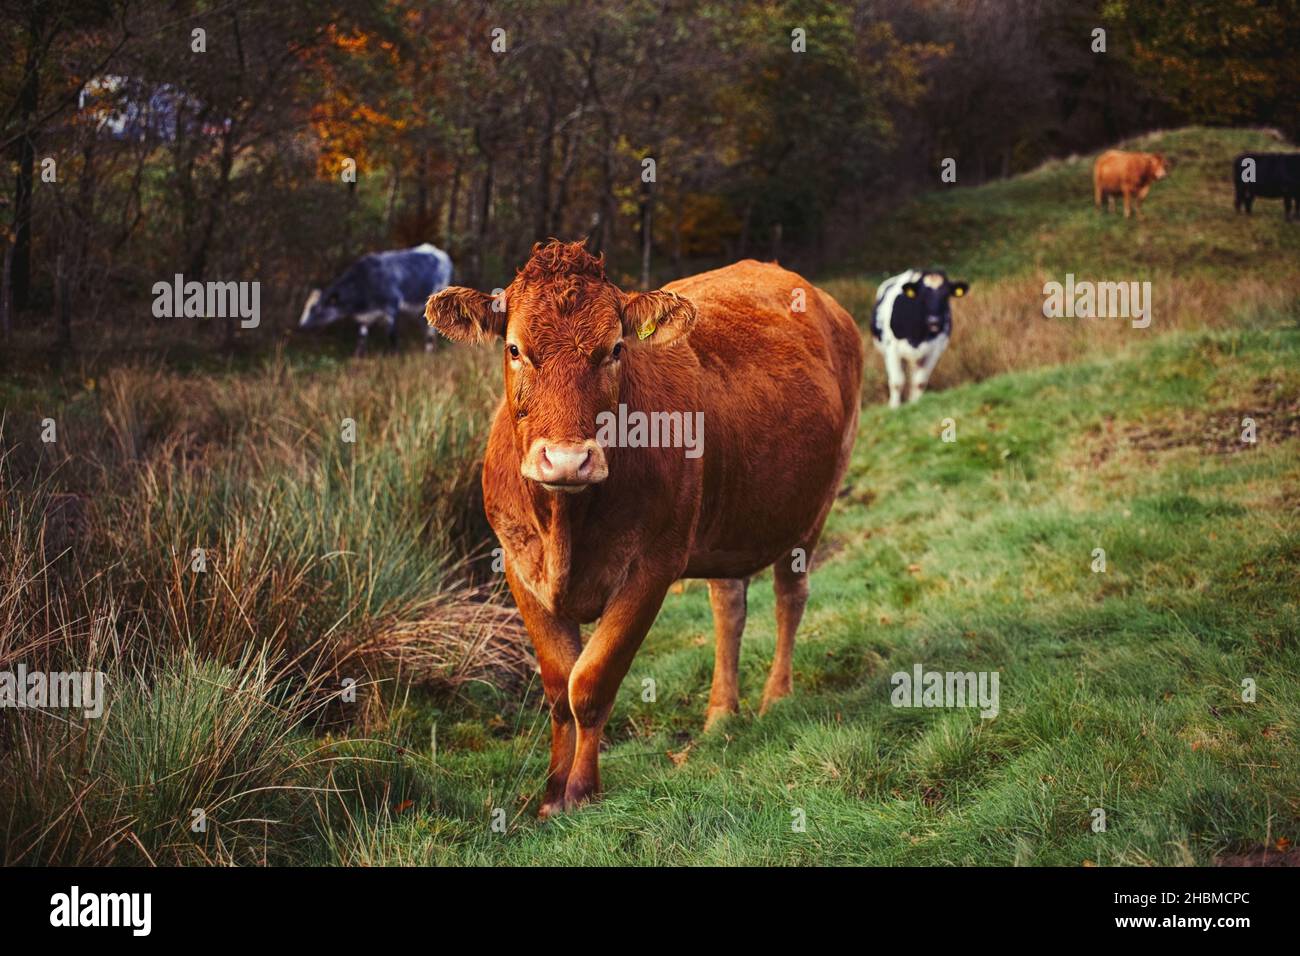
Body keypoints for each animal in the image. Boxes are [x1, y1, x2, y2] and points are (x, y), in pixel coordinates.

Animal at [299, 243, 452, 355]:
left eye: (315, 308)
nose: (301, 325)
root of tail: (442, 255)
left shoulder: (392, 307)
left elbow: (392, 336)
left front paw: (395, 356)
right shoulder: (365, 317)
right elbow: (361, 340)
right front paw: (358, 358)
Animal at [425, 240, 863, 816]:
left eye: (614, 349)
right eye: (515, 349)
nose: (567, 460)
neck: (567, 525)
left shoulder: (652, 568)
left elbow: (591, 683)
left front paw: (581, 791)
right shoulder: (519, 566)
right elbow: (558, 687)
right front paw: (550, 794)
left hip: (815, 503)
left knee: (790, 596)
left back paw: (775, 699)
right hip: (727, 521)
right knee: (729, 606)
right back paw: (720, 714)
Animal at [870, 269, 968, 408]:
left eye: (946, 296)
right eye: (923, 296)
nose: (934, 321)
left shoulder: (934, 350)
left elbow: (920, 382)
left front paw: (915, 403)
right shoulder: (892, 349)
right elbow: (897, 382)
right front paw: (894, 407)